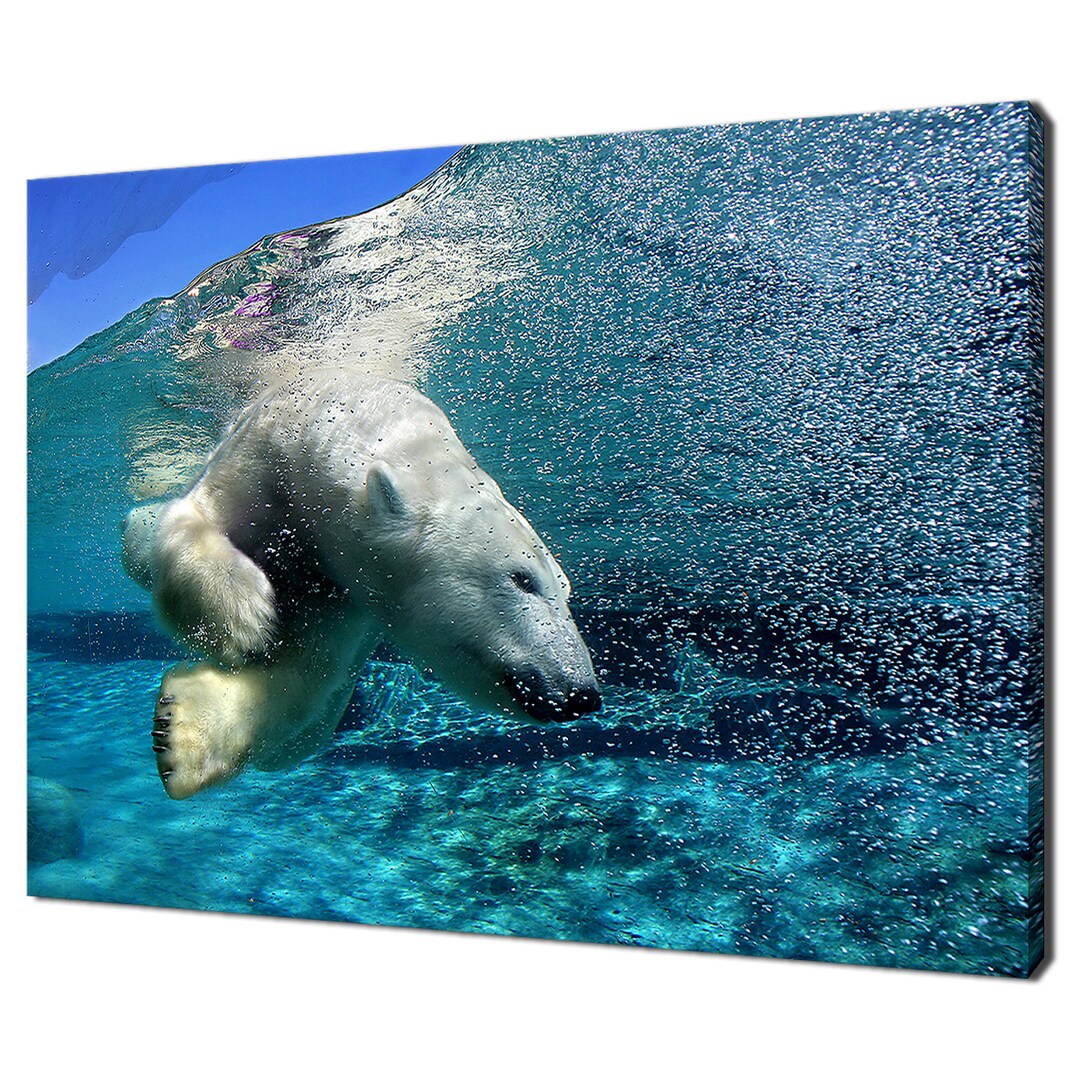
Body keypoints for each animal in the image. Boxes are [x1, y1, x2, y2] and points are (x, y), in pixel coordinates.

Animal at [121, 367, 601, 799]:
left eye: (566, 592)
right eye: (522, 579)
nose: (582, 693)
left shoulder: (348, 594)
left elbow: (307, 672)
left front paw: (181, 733)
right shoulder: (264, 455)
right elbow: (195, 519)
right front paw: (246, 617)